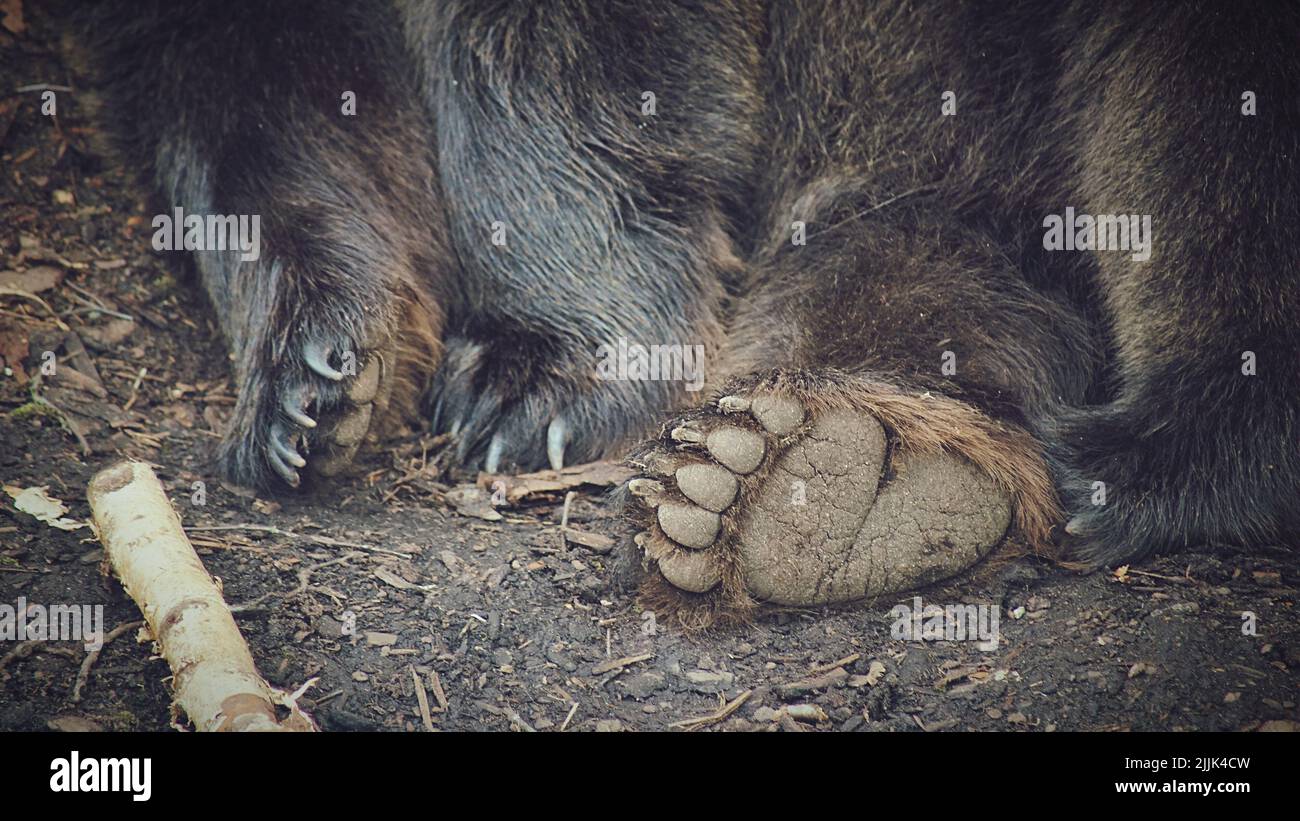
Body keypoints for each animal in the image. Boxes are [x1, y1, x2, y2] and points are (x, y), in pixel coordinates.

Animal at [63, 0, 1300, 624]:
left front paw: (543, 381)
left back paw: (1142, 455)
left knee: (1206, 122)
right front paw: (319, 378)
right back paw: (833, 471)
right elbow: (250, 88)